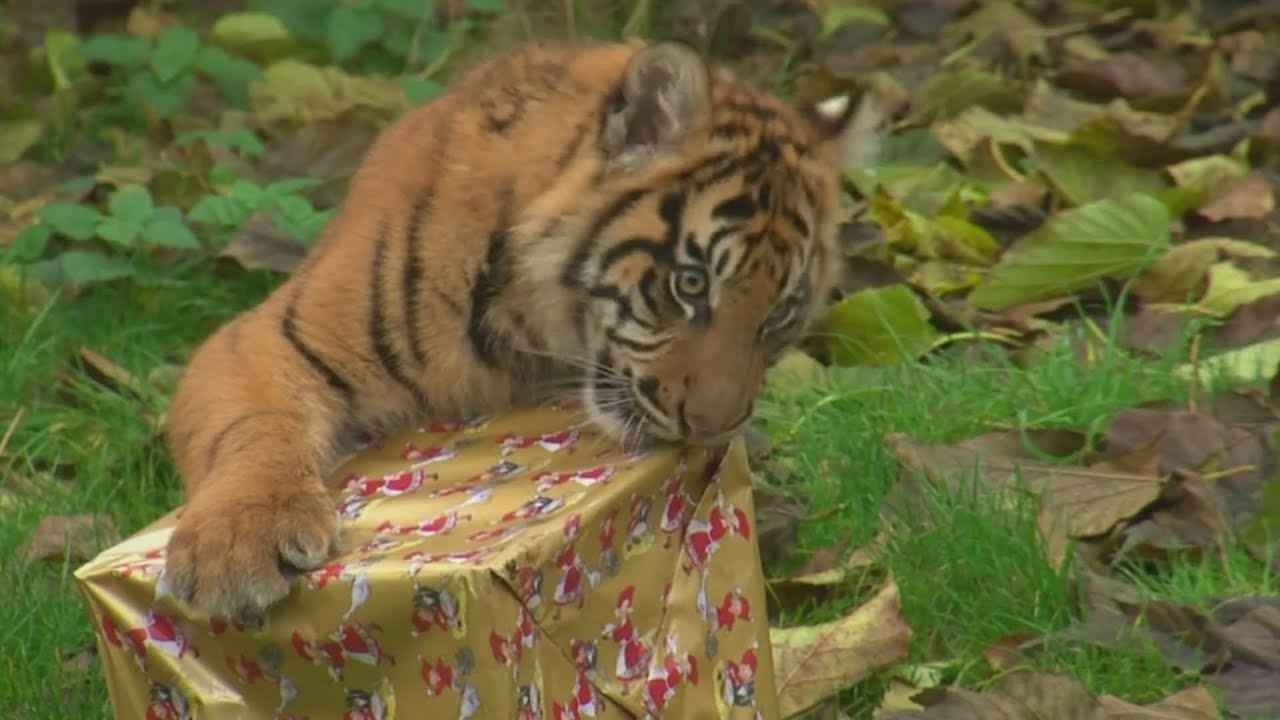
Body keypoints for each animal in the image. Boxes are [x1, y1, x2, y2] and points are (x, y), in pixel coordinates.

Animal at [162, 39, 880, 620]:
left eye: (779, 313)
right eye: (691, 283)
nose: (711, 428)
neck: (527, 335)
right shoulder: (266, 339)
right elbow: (253, 429)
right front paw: (237, 543)